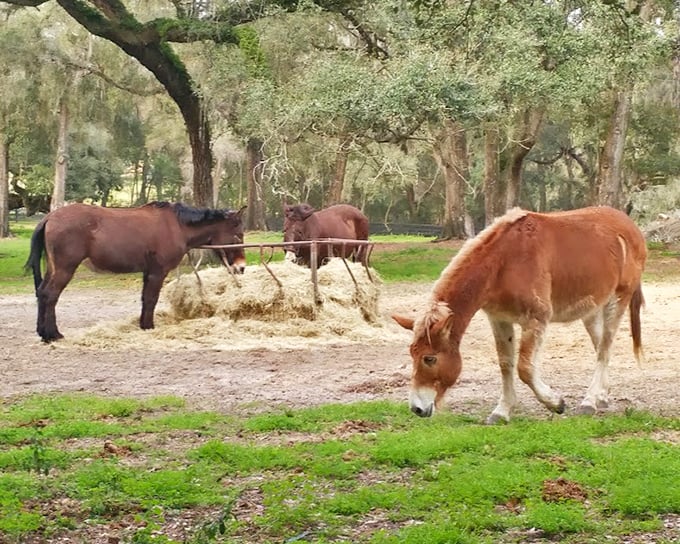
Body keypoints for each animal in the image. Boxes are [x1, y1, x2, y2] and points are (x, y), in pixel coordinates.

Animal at [25, 201, 247, 343]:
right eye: (238, 235)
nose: (241, 267)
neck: (177, 226)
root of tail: (50, 217)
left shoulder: (148, 272)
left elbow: (144, 298)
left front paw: (143, 324)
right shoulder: (158, 272)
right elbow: (151, 299)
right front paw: (148, 326)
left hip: (53, 268)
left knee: (41, 293)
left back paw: (42, 332)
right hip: (65, 268)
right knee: (50, 295)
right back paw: (52, 334)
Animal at [392, 206, 647, 423]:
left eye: (429, 358)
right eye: (412, 354)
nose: (417, 408)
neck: (504, 263)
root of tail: (631, 226)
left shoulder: (536, 319)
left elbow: (525, 368)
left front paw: (555, 403)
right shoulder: (499, 319)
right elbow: (506, 364)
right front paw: (502, 412)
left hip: (618, 299)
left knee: (604, 347)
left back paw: (589, 402)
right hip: (591, 309)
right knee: (601, 345)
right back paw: (601, 397)